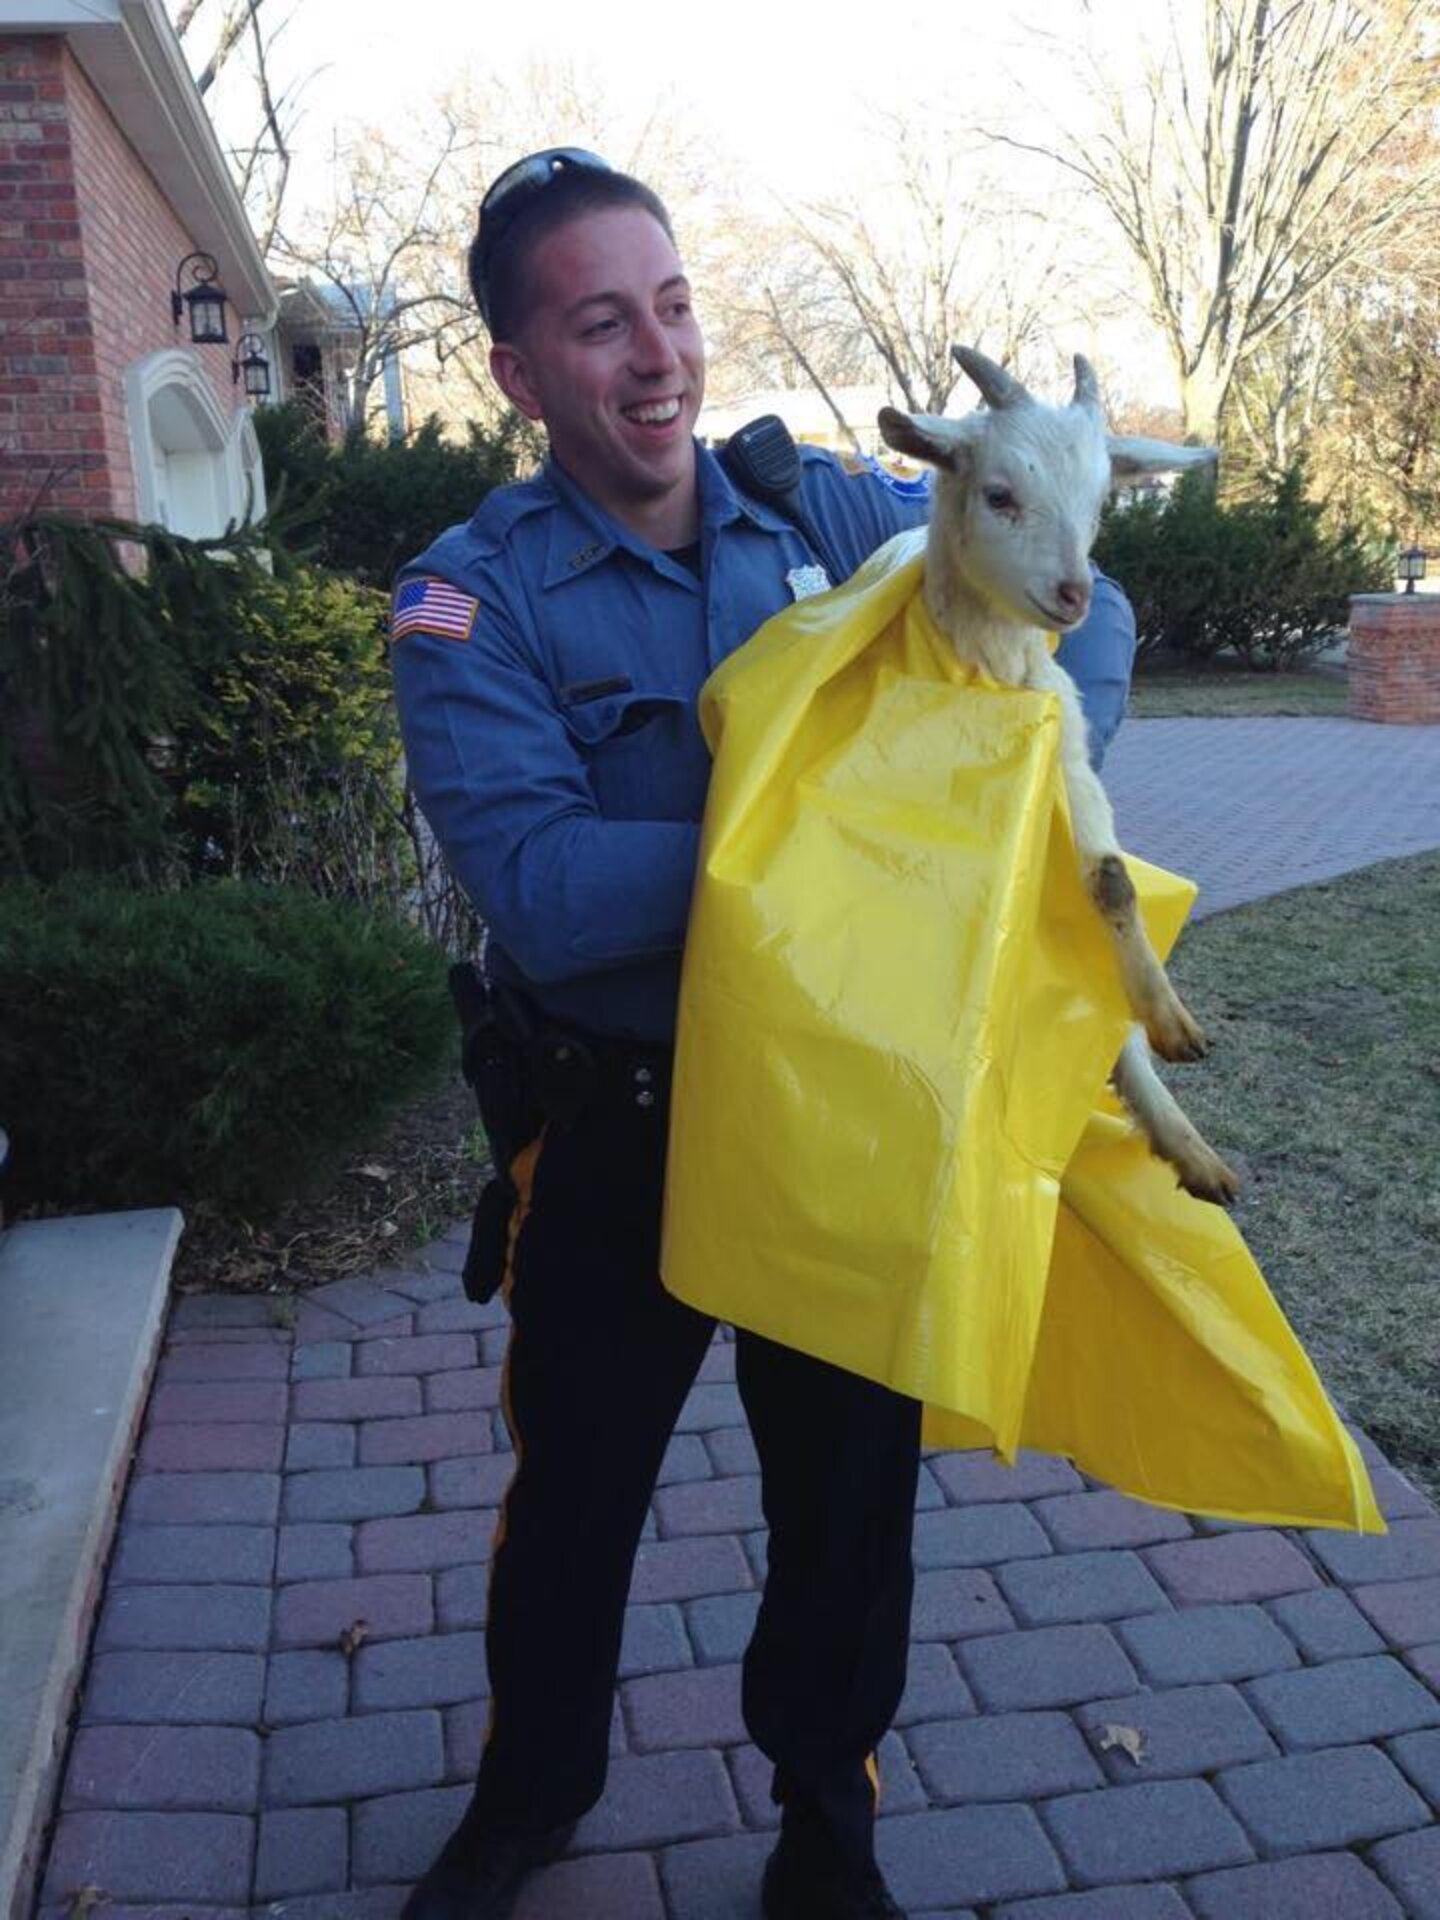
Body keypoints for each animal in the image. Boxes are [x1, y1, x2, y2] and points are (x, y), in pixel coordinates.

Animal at [877, 347, 1239, 1206]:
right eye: (999, 494)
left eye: (1104, 500)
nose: (1074, 594)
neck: (1002, 670)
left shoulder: (1070, 762)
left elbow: (1112, 879)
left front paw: (1170, 1019)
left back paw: (1191, 1151)